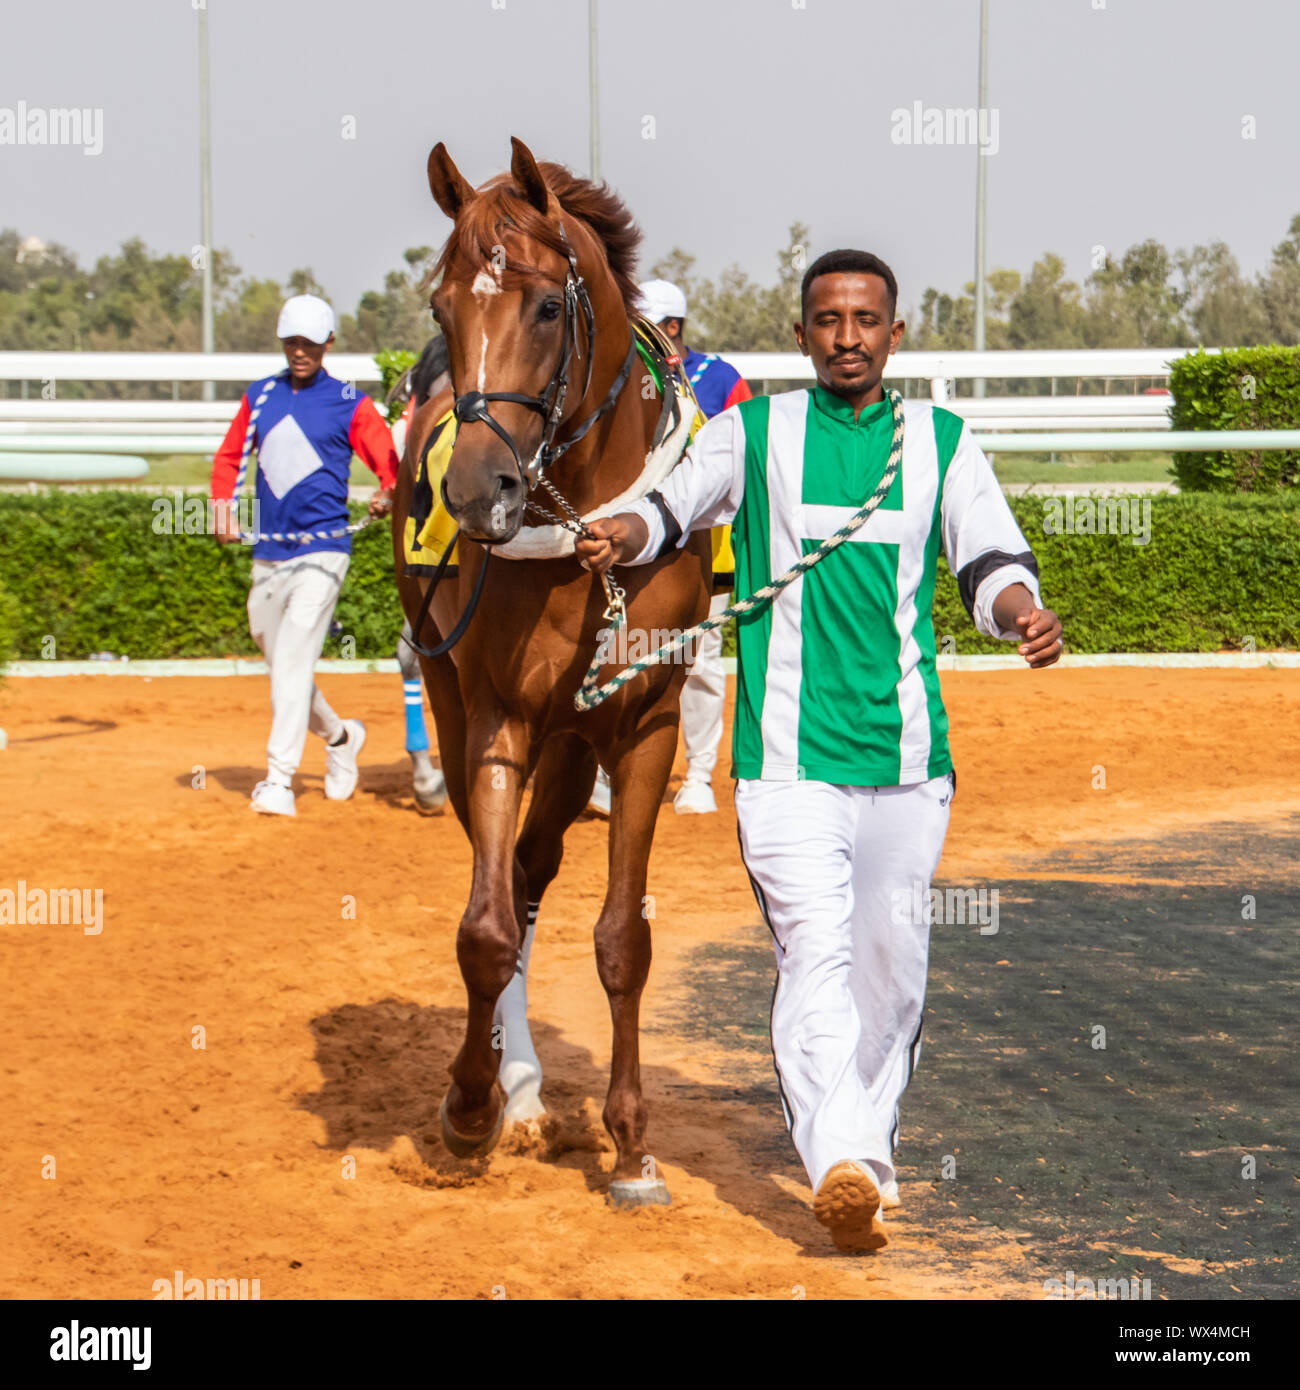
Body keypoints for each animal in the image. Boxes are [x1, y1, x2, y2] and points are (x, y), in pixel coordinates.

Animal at [391, 137, 711, 1205]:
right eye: (441, 305)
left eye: (542, 306)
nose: (473, 490)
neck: (585, 534)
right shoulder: (500, 715)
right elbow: (484, 930)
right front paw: (469, 1107)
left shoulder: (643, 724)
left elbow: (622, 938)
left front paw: (633, 1144)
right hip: (459, 704)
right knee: (504, 884)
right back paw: (510, 1086)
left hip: (577, 747)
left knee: (533, 870)